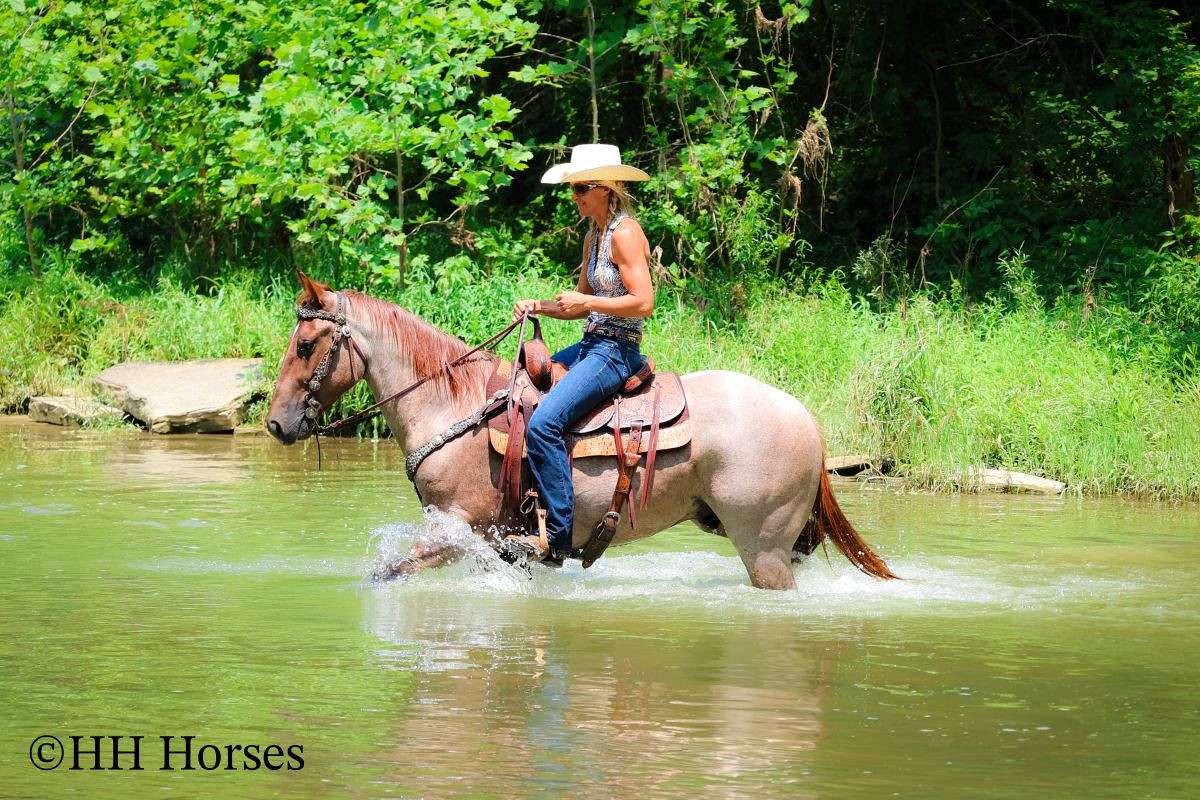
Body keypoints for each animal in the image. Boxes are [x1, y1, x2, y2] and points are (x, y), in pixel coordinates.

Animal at [266, 272, 898, 589]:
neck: (450, 406)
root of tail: (804, 416)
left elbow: (388, 571)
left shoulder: (462, 527)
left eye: (306, 345)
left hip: (762, 545)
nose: (276, 422)